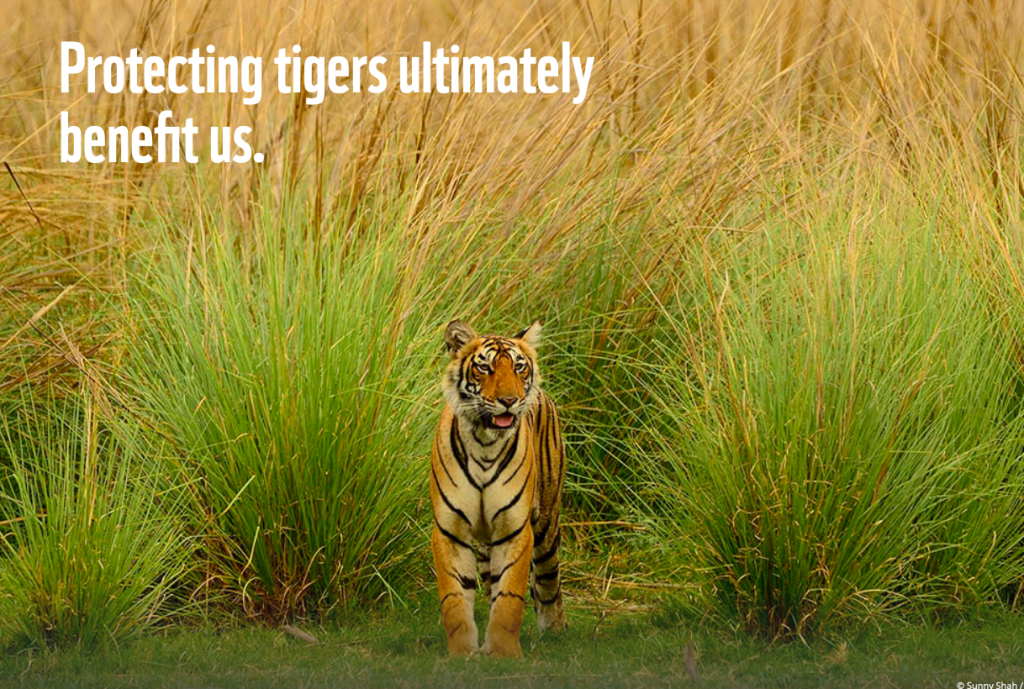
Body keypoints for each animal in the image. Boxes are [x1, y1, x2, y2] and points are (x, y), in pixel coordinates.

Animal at [429, 319, 567, 658]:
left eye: (519, 368)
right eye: (484, 368)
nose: (509, 400)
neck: (484, 443)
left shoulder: (515, 528)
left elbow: (510, 596)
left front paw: (503, 653)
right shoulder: (450, 529)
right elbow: (455, 597)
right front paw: (463, 652)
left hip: (547, 524)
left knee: (548, 579)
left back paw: (554, 629)